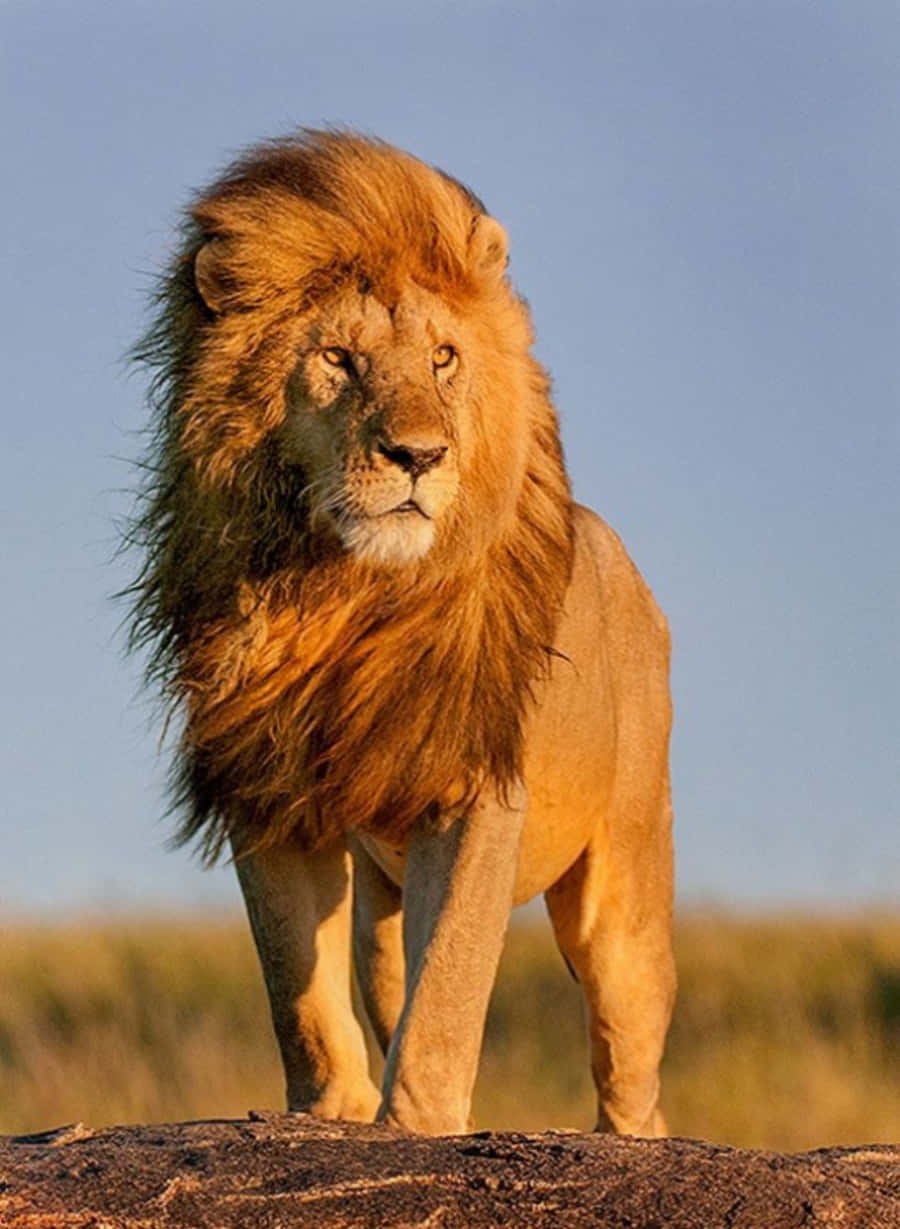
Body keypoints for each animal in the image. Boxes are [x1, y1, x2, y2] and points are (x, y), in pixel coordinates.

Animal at [127, 129, 676, 1136]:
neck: (343, 589)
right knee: (386, 975)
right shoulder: (266, 783)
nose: (419, 455)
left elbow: (449, 987)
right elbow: (297, 992)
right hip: (381, 906)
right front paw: (331, 1113)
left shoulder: (475, 791)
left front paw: (415, 1127)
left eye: (445, 358)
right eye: (341, 358)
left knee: (630, 1061)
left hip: (625, 893)